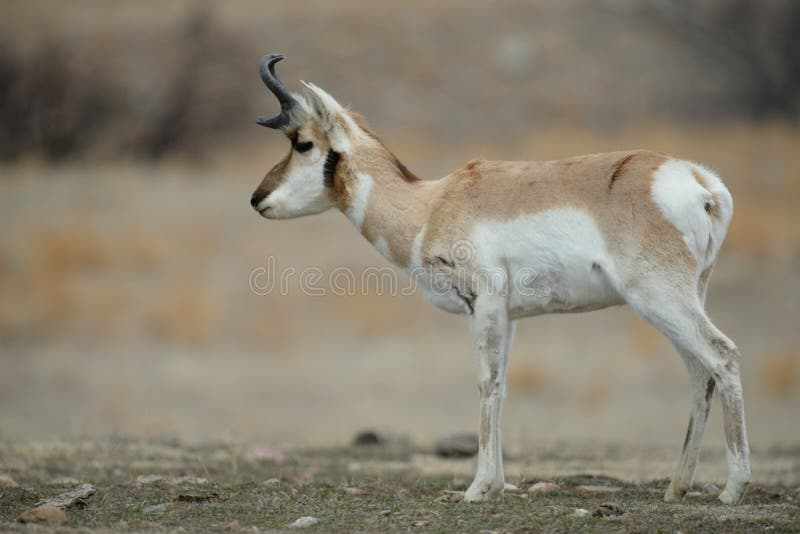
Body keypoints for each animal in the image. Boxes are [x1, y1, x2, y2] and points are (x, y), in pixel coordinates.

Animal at [249, 54, 750, 504]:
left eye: (302, 143)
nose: (257, 198)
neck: (430, 205)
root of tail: (700, 181)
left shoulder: (485, 304)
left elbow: (486, 383)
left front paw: (476, 488)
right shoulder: (509, 316)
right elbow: (504, 386)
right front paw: (496, 486)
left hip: (660, 298)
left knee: (722, 355)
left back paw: (732, 490)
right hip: (681, 299)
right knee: (699, 373)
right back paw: (676, 487)